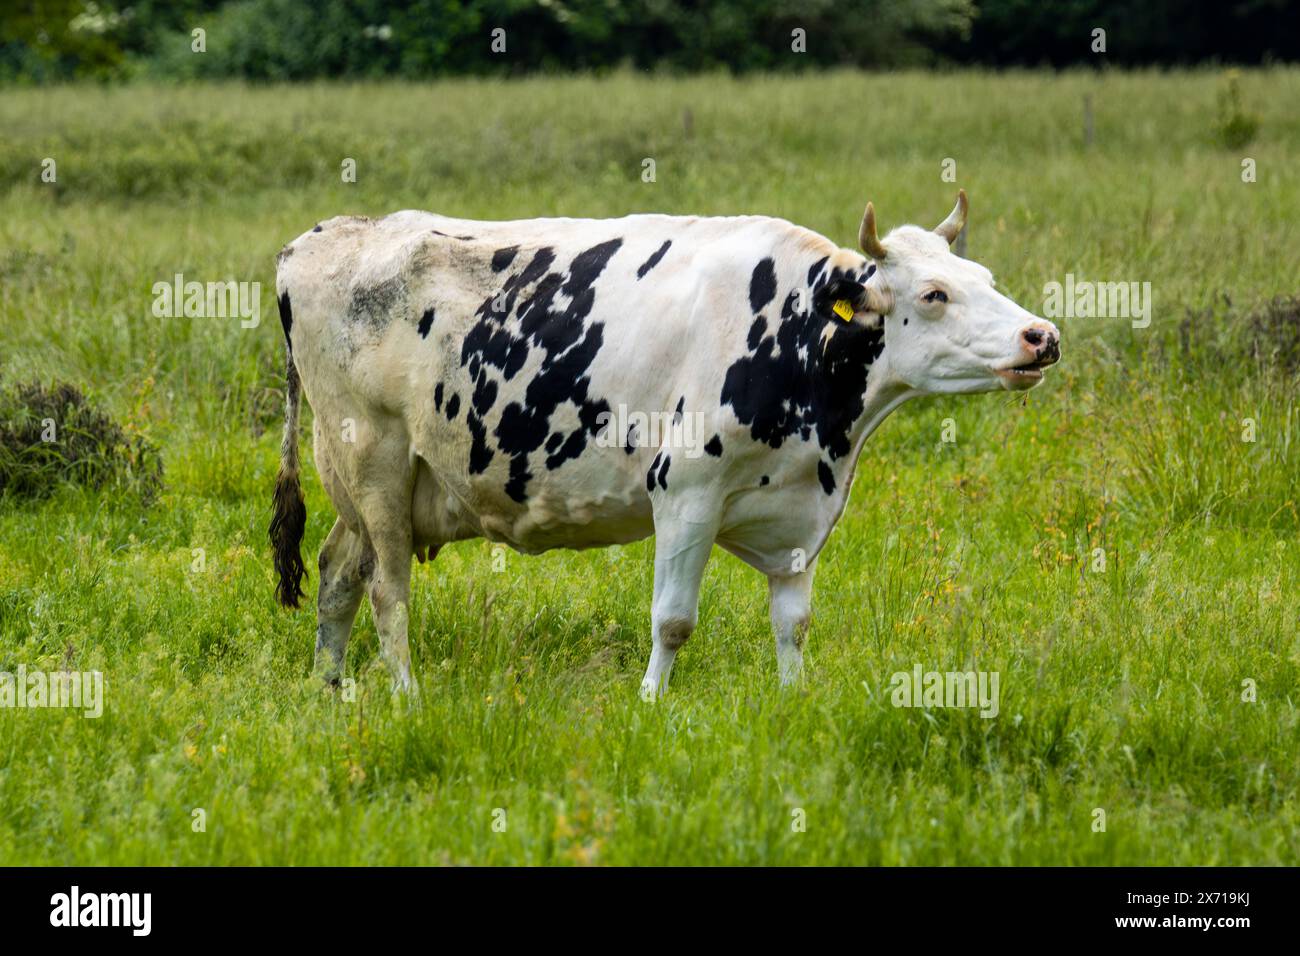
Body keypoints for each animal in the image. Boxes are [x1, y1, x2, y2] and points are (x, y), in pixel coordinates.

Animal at [269, 191, 1060, 698]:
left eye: (983, 278)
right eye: (934, 294)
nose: (1042, 335)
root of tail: (323, 236)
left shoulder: (801, 509)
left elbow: (794, 624)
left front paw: (794, 699)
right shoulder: (686, 491)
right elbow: (674, 620)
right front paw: (651, 704)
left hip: (380, 485)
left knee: (338, 573)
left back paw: (328, 686)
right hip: (374, 460)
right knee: (385, 588)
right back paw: (406, 695)